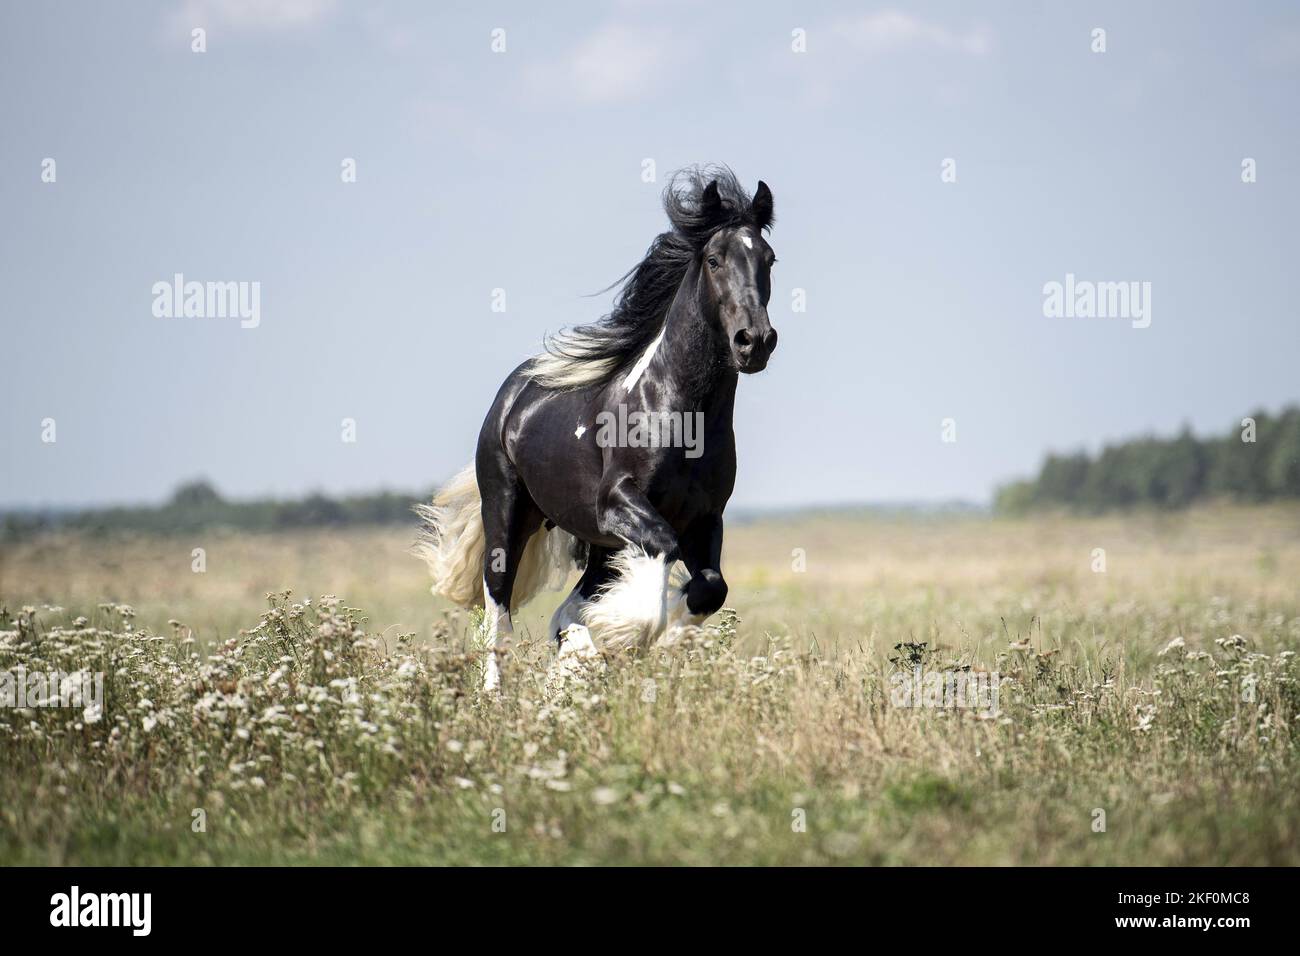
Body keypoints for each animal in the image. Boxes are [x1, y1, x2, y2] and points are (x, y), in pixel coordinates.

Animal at [415, 166, 778, 690]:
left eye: (769, 259)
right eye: (714, 259)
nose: (755, 342)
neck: (678, 410)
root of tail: (512, 395)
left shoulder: (706, 518)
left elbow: (711, 586)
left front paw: (646, 639)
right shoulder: (620, 503)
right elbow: (664, 554)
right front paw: (632, 633)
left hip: (603, 546)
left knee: (565, 610)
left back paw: (575, 658)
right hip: (507, 511)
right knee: (498, 608)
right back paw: (499, 692)